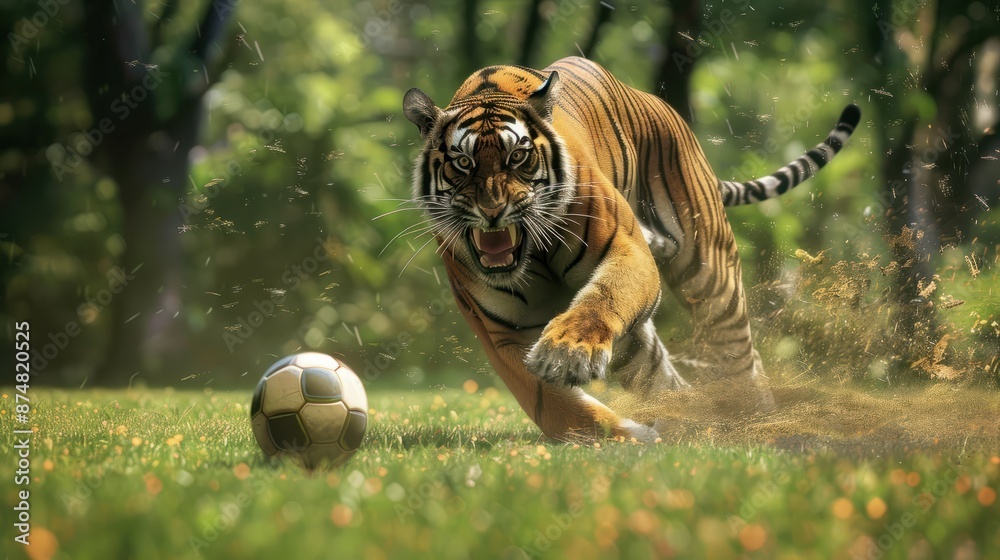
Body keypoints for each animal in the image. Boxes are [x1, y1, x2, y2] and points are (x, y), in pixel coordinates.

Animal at [402, 56, 860, 442]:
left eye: (518, 157)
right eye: (463, 163)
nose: (493, 210)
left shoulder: (627, 249)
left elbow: (602, 300)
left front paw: (567, 352)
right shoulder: (499, 333)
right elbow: (546, 398)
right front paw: (624, 435)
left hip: (708, 270)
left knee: (741, 352)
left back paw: (754, 417)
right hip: (634, 344)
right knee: (660, 374)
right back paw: (691, 416)